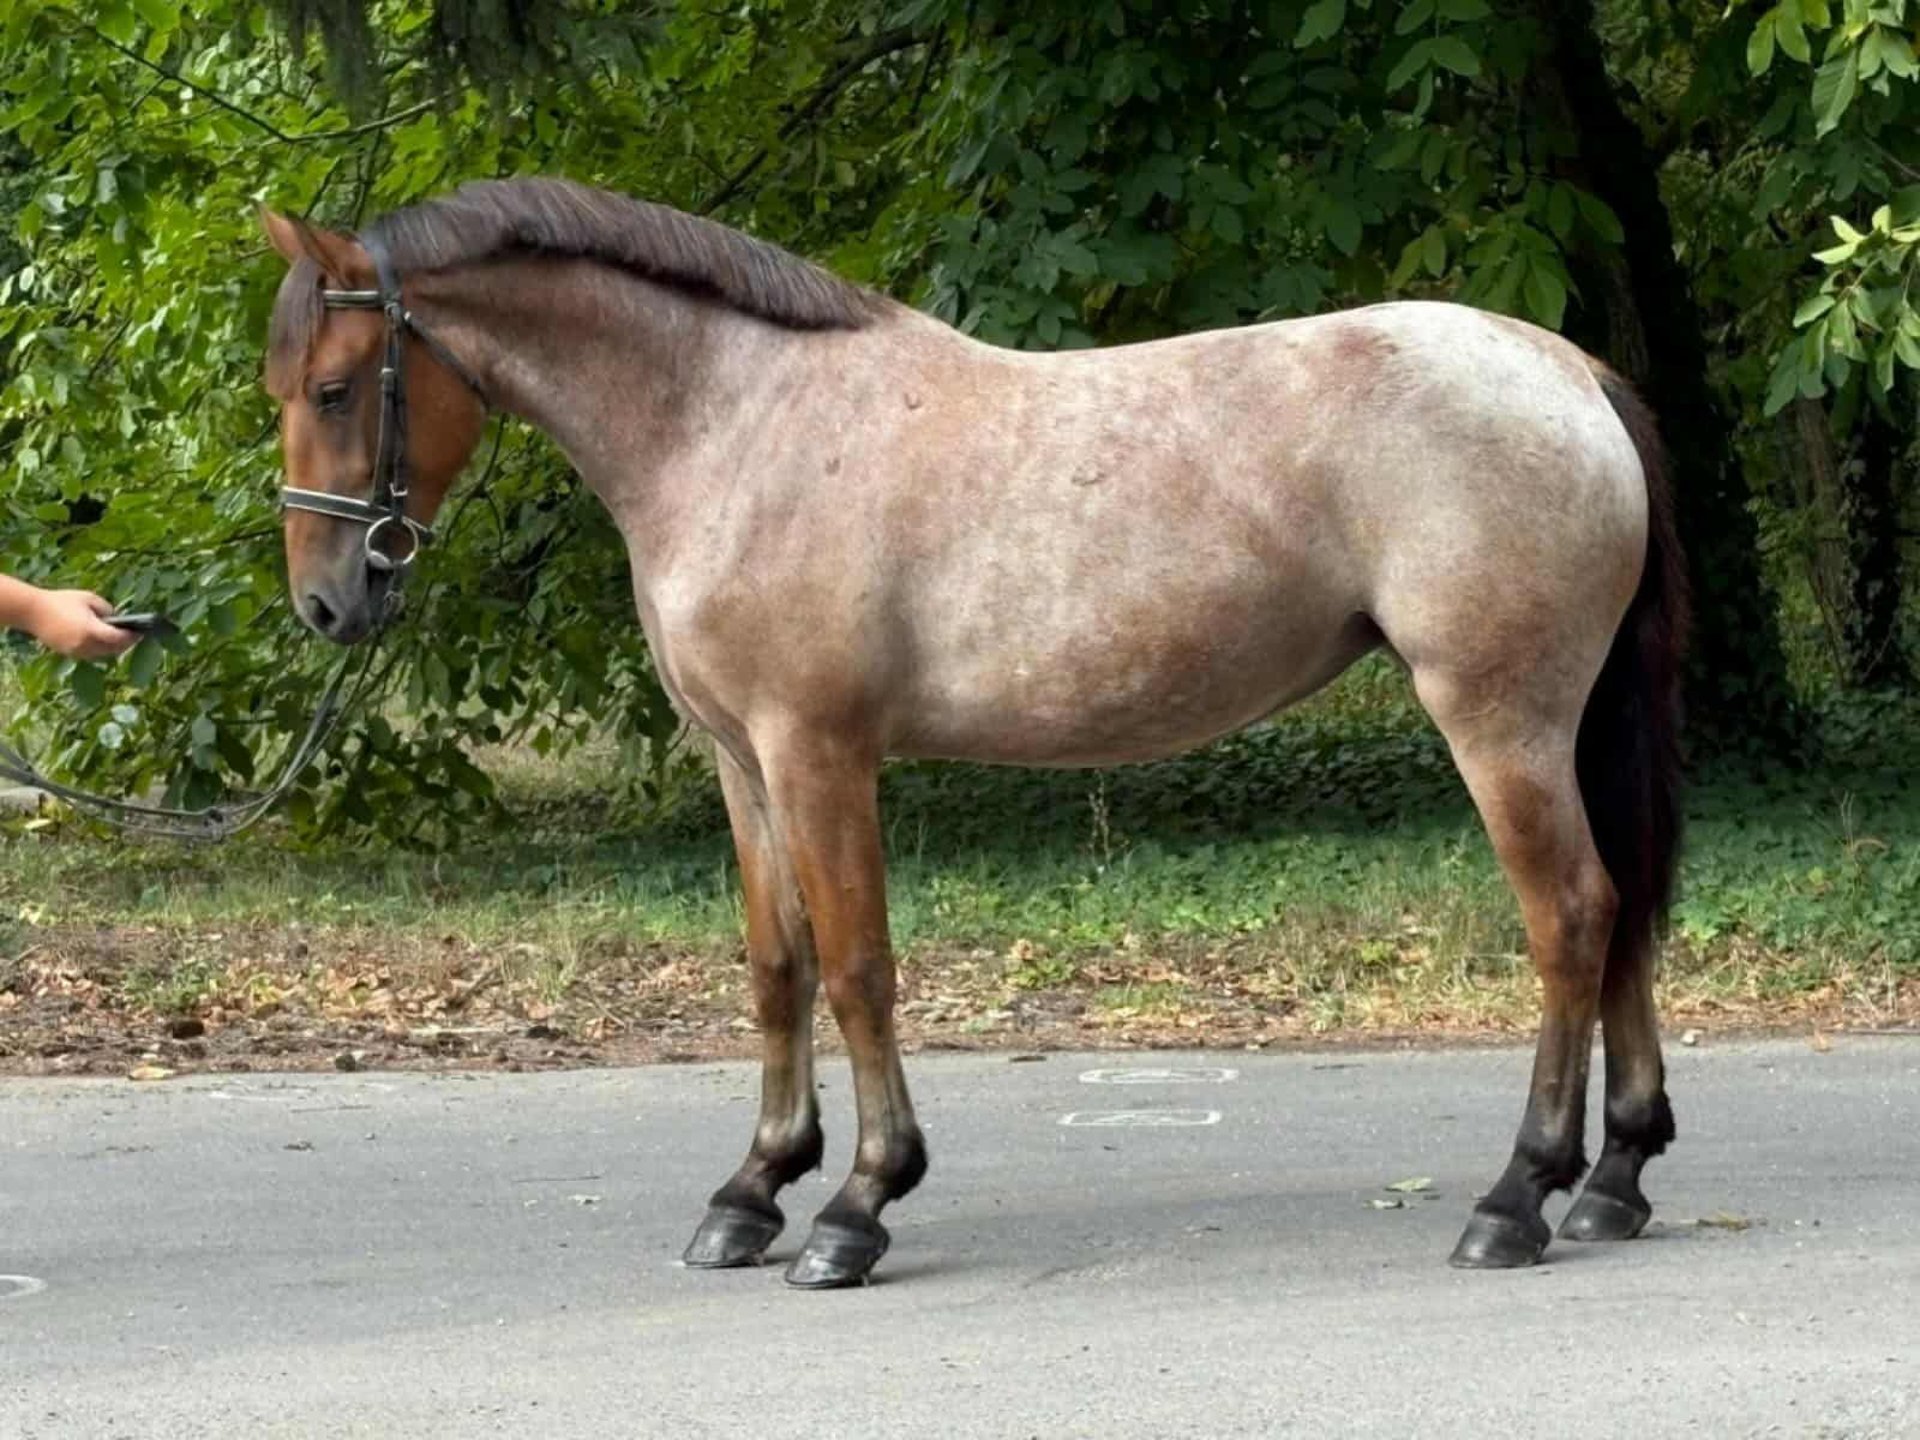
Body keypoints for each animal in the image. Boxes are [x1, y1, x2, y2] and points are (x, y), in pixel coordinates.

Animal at [260, 176, 1685, 1289]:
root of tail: (1569, 371)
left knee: (1571, 915)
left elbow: (856, 969)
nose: (327, 601)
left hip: (1499, 719)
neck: (736, 422)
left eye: (333, 387)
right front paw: (753, 1191)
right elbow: (776, 970)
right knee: (1621, 912)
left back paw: (1518, 1198)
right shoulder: (741, 762)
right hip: (1565, 726)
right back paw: (1613, 1181)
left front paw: (857, 1205)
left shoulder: (818, 752)